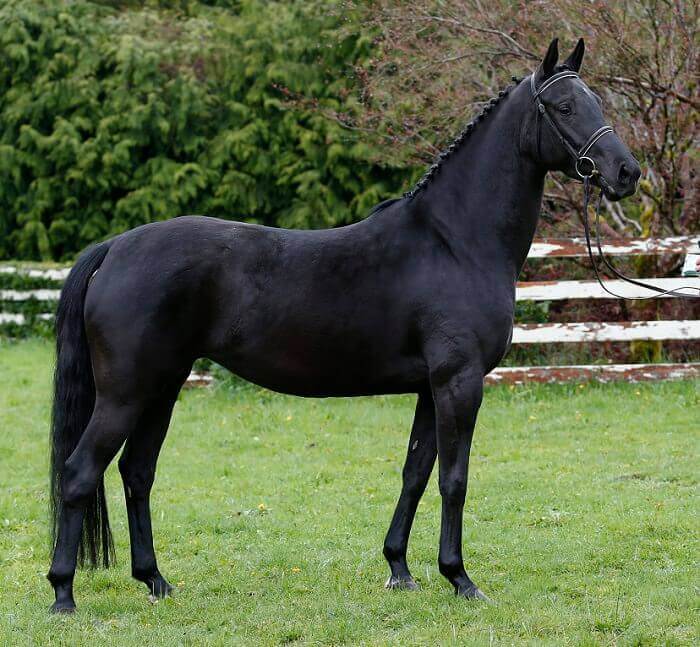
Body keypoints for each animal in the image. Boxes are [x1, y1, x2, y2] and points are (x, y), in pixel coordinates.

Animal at [47, 37, 640, 612]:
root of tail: (115, 247)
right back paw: (63, 593)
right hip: (126, 393)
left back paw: (155, 581)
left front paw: (400, 569)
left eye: (596, 102)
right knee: (79, 474)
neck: (454, 242)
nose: (626, 173)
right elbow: (454, 480)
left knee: (136, 474)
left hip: (163, 387)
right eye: (564, 107)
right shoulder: (459, 382)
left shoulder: (430, 389)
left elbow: (415, 473)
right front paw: (460, 578)